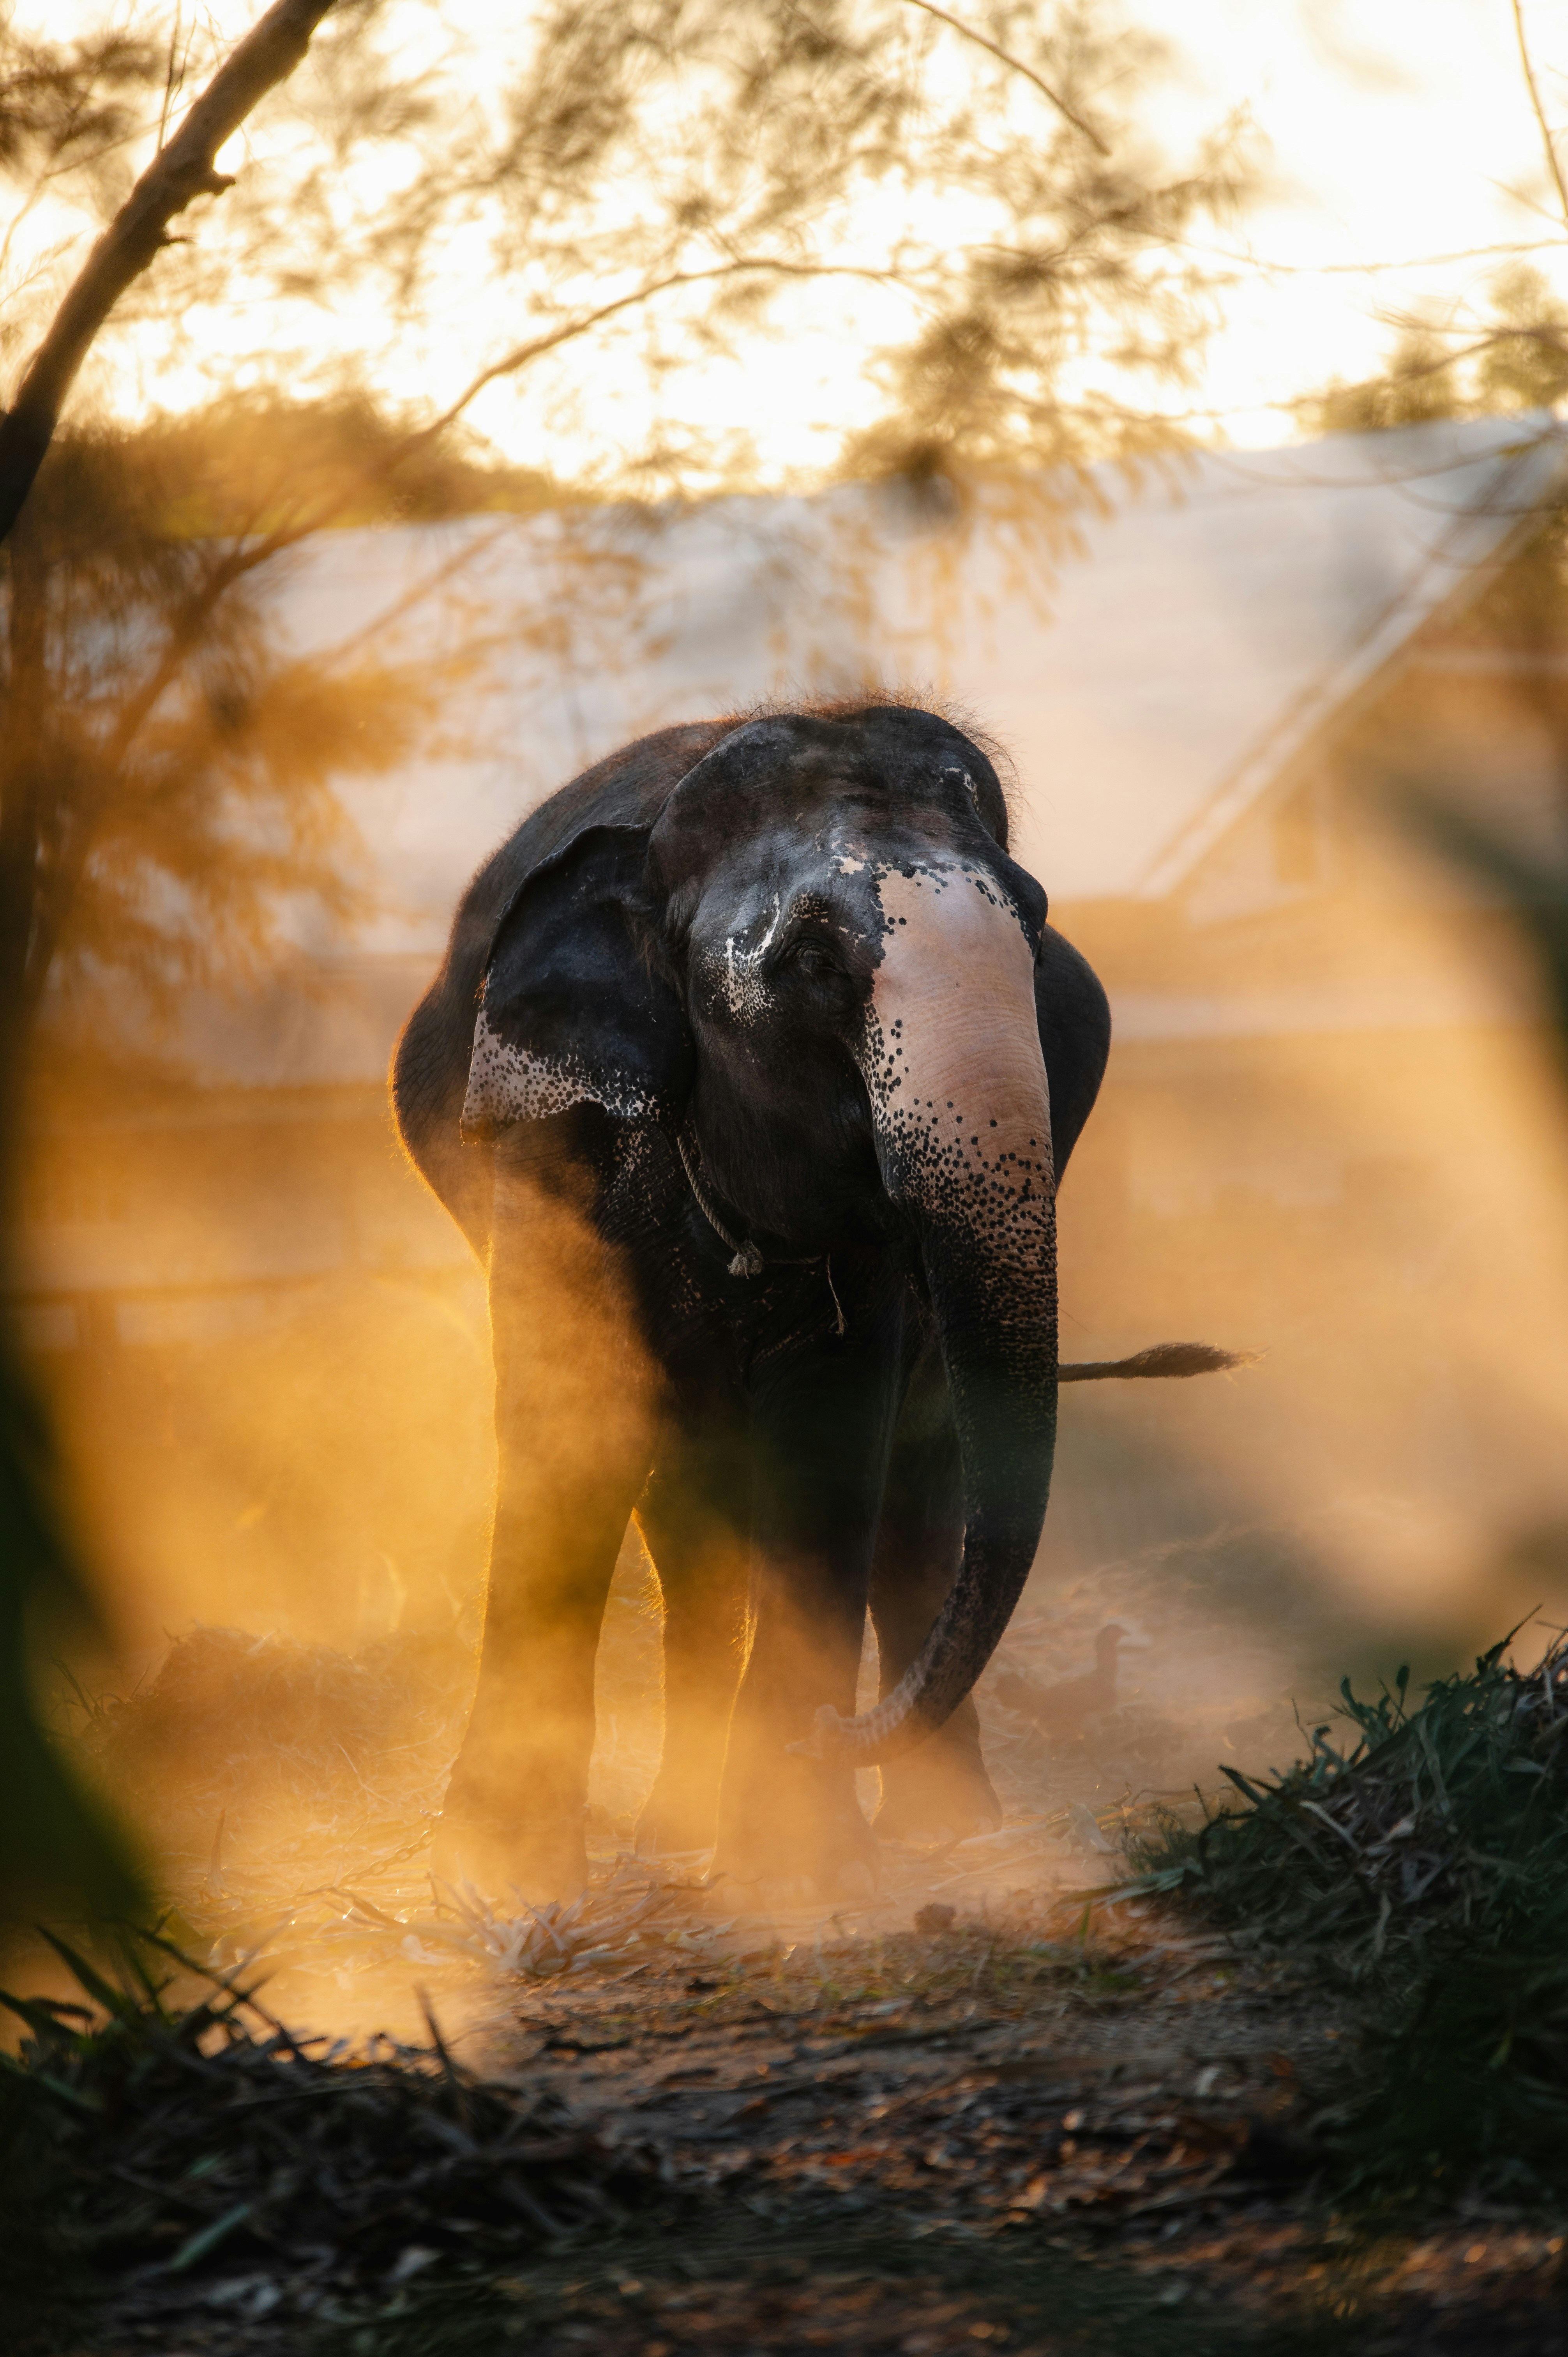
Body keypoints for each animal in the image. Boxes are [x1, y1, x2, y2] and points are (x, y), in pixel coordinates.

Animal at [392, 699, 1111, 1904]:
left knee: (914, 1490)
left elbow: (829, 1445)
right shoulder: (549, 1143)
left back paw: (944, 1831)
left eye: (1037, 923)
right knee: (688, 1504)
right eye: (813, 960)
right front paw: (501, 1881)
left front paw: (795, 1871)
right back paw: (675, 1828)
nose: (830, 1730)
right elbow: (570, 1418)